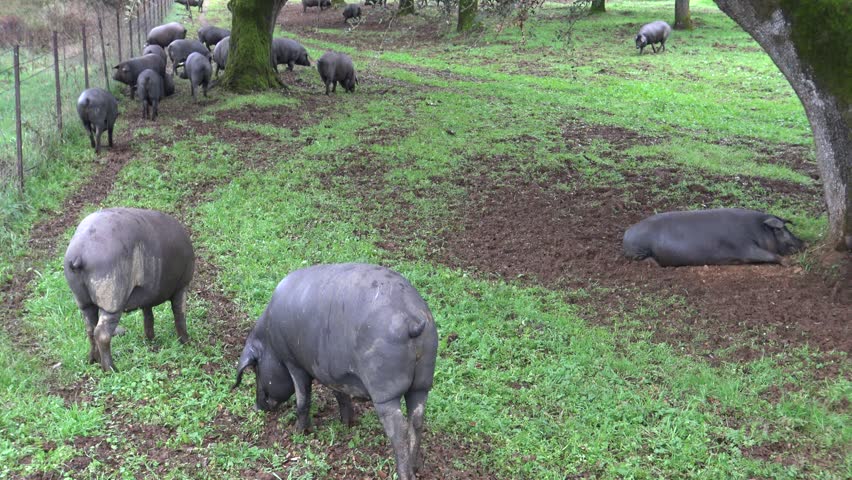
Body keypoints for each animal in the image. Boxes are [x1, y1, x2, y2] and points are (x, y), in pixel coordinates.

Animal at [64, 208, 195, 372]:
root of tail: (79, 253)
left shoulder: (147, 295)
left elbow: (148, 316)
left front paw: (150, 341)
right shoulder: (182, 286)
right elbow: (179, 314)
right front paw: (186, 343)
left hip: (83, 301)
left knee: (90, 328)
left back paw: (93, 361)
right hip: (112, 299)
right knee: (101, 333)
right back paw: (112, 370)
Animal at [233, 263, 438, 480]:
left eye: (255, 368)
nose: (257, 407)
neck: (270, 341)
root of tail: (412, 320)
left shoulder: (293, 363)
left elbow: (303, 400)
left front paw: (298, 433)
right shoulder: (334, 374)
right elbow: (341, 396)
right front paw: (346, 423)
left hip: (384, 391)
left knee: (399, 429)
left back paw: (405, 474)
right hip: (422, 384)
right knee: (417, 420)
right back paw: (415, 467)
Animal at [623, 208, 805, 267]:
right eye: (783, 229)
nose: (804, 242)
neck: (757, 231)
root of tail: (626, 234)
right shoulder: (744, 247)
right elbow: (770, 255)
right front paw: (791, 265)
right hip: (639, 249)